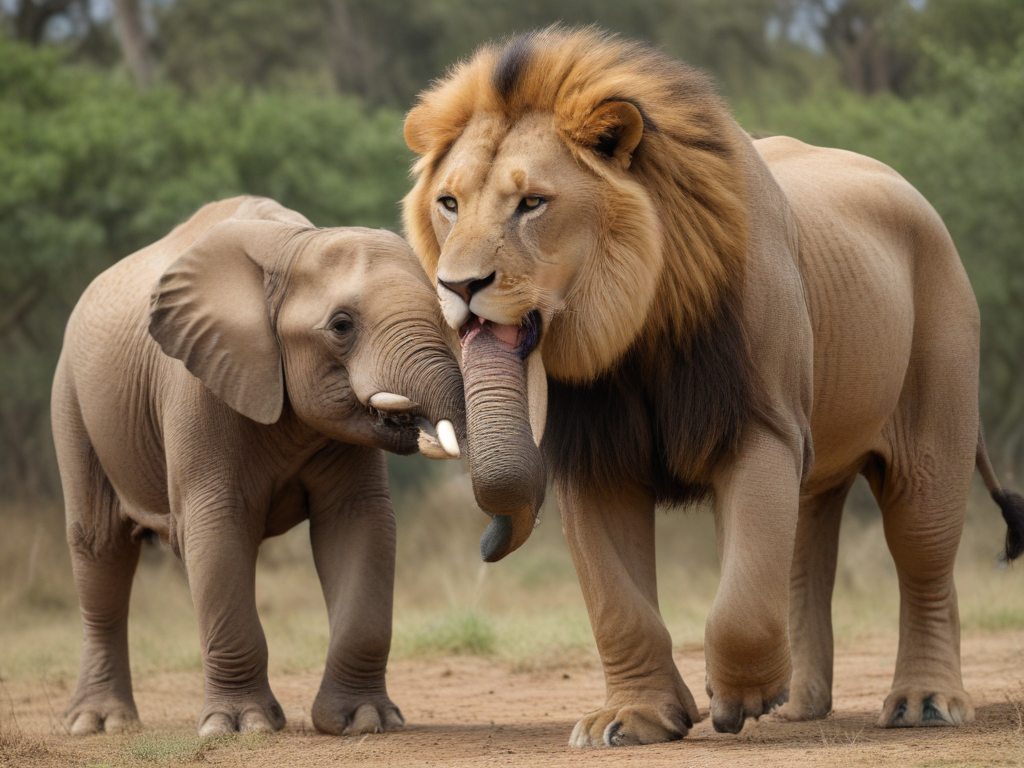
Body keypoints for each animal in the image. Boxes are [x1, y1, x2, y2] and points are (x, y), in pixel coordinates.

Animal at [51, 196, 465, 737]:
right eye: (341, 325)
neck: (292, 246)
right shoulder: (195, 385)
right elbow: (218, 527)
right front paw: (243, 726)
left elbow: (361, 525)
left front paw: (365, 722)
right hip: (72, 399)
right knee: (101, 549)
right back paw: (99, 725)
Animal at [401, 26, 1024, 746]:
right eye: (449, 203)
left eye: (532, 204)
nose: (459, 286)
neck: (636, 329)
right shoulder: (592, 454)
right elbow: (617, 602)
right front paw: (633, 718)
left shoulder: (761, 430)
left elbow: (742, 602)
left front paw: (738, 699)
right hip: (818, 463)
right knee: (804, 558)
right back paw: (798, 703)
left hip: (930, 434)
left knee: (925, 562)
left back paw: (924, 702)